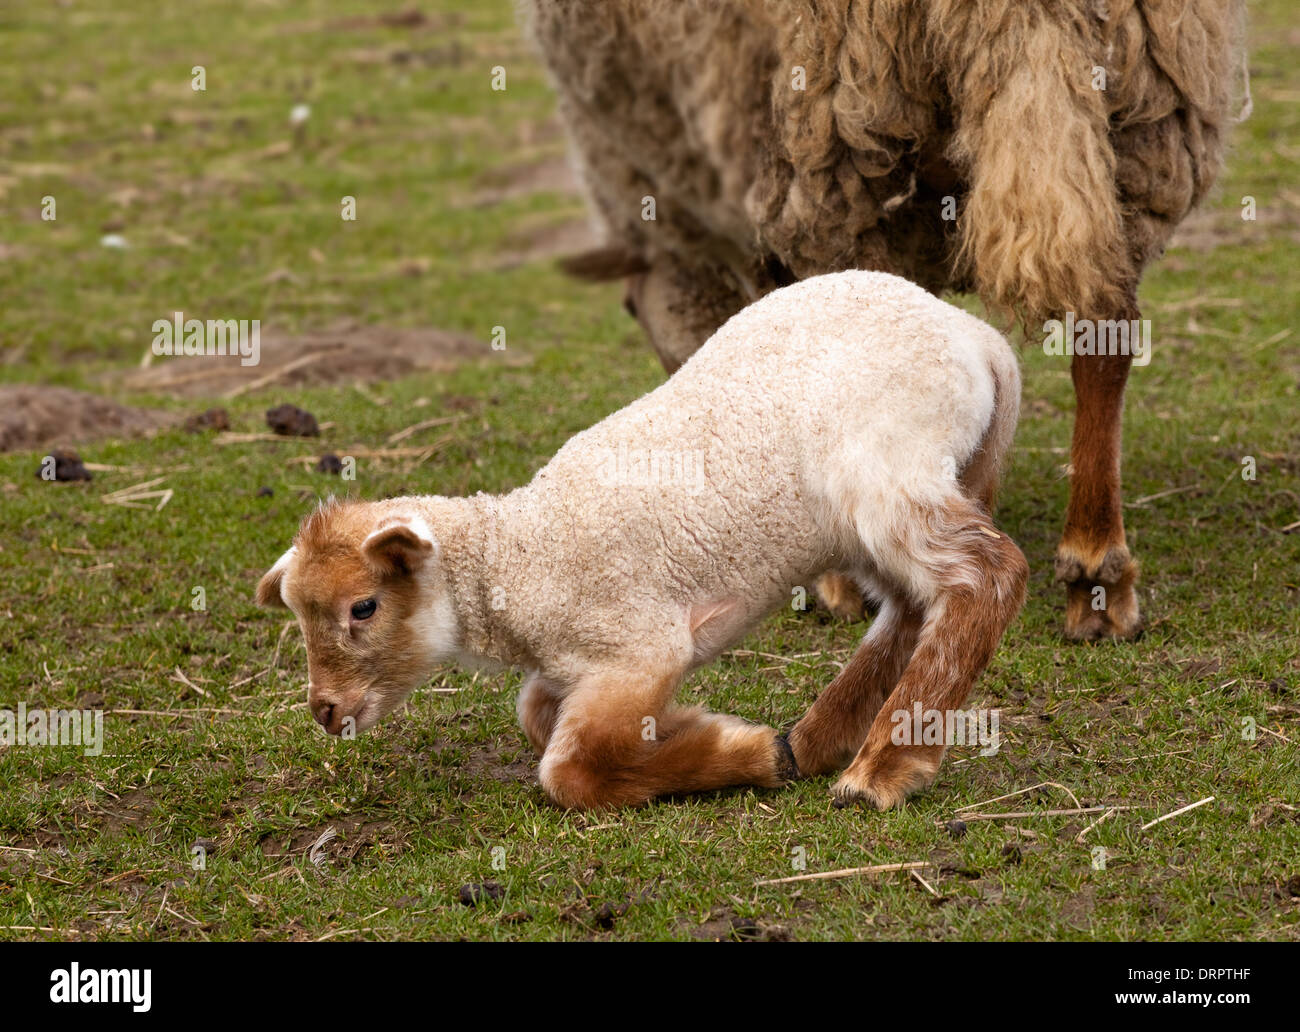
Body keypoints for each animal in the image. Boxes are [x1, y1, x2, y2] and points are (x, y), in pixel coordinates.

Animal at [256, 271, 1027, 810]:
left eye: (363, 607)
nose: (324, 711)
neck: (517, 557)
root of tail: (980, 341)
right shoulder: (572, 669)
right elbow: (538, 717)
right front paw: (700, 730)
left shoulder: (640, 647)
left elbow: (570, 769)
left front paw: (747, 754)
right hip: (884, 505)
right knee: (911, 606)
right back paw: (818, 740)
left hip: (888, 473)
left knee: (987, 574)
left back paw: (879, 770)